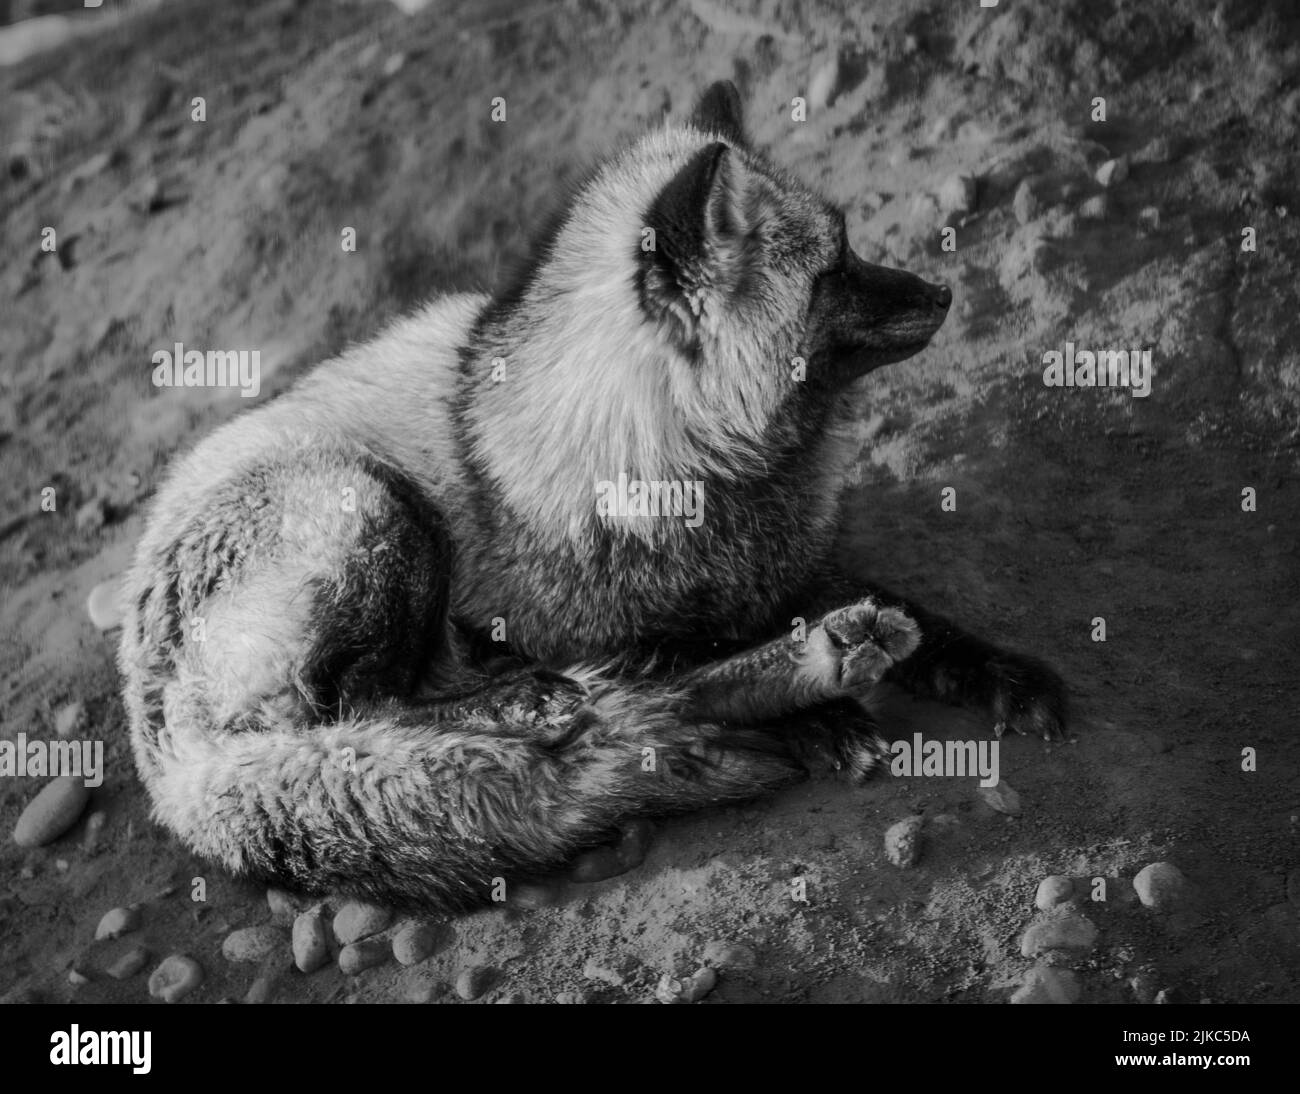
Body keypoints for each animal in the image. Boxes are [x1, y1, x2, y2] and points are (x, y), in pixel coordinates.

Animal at [118, 81, 1065, 911]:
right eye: (835, 268)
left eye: (851, 242)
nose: (944, 290)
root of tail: (163, 759)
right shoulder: (568, 626)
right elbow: (669, 655)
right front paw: (819, 715)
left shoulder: (789, 572)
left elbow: (921, 618)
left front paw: (1002, 674)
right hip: (376, 510)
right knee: (374, 708)